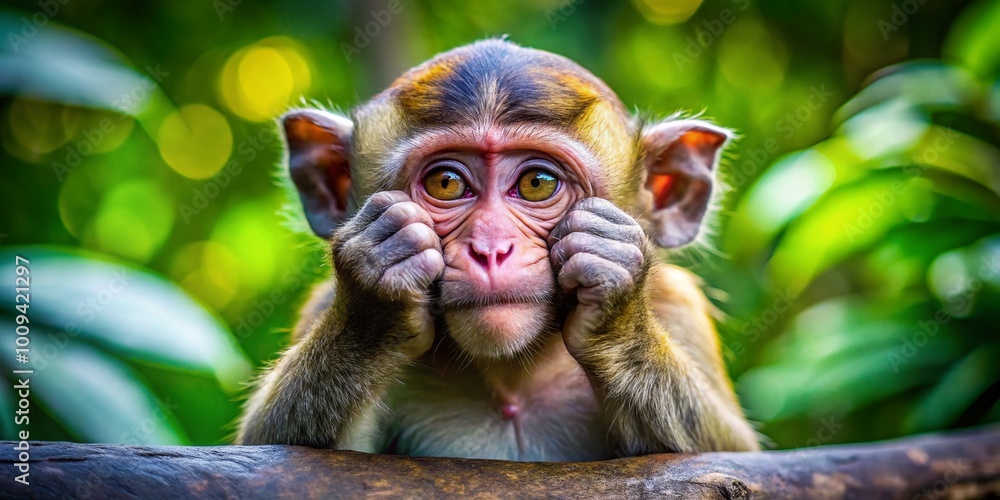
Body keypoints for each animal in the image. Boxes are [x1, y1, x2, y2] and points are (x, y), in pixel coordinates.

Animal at [236, 39, 761, 460]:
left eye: (537, 182)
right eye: (446, 183)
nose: (490, 248)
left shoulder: (678, 303)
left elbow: (727, 455)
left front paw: (616, 308)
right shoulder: (322, 304)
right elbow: (285, 449)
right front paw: (376, 295)